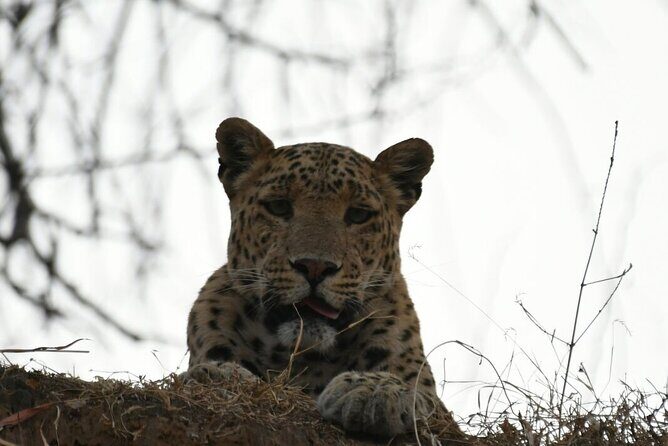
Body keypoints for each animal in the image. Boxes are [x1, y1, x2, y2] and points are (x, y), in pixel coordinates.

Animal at [184, 117, 453, 437]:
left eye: (358, 215)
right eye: (278, 207)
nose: (314, 266)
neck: (305, 360)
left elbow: (418, 395)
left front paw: (374, 390)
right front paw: (221, 373)